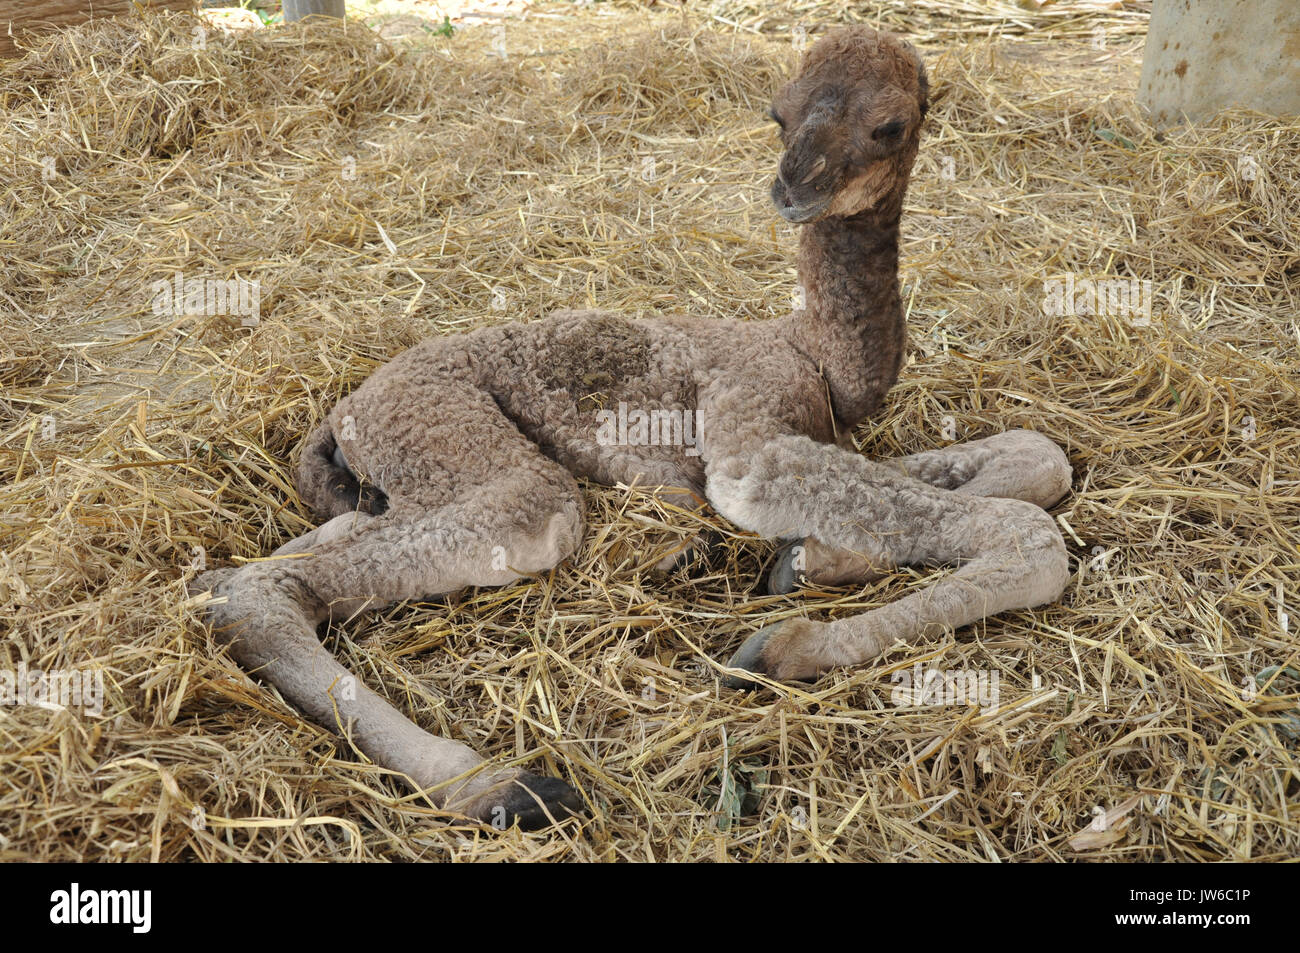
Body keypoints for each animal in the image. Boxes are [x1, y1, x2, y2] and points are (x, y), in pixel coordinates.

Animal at [194, 26, 1072, 830]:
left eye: (889, 124)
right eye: (778, 112)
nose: (793, 186)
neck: (816, 356)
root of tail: (342, 413)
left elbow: (1039, 456)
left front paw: (809, 558)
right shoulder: (748, 436)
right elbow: (1029, 535)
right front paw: (780, 646)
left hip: (402, 479)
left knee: (262, 567)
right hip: (463, 443)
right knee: (291, 583)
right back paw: (505, 787)